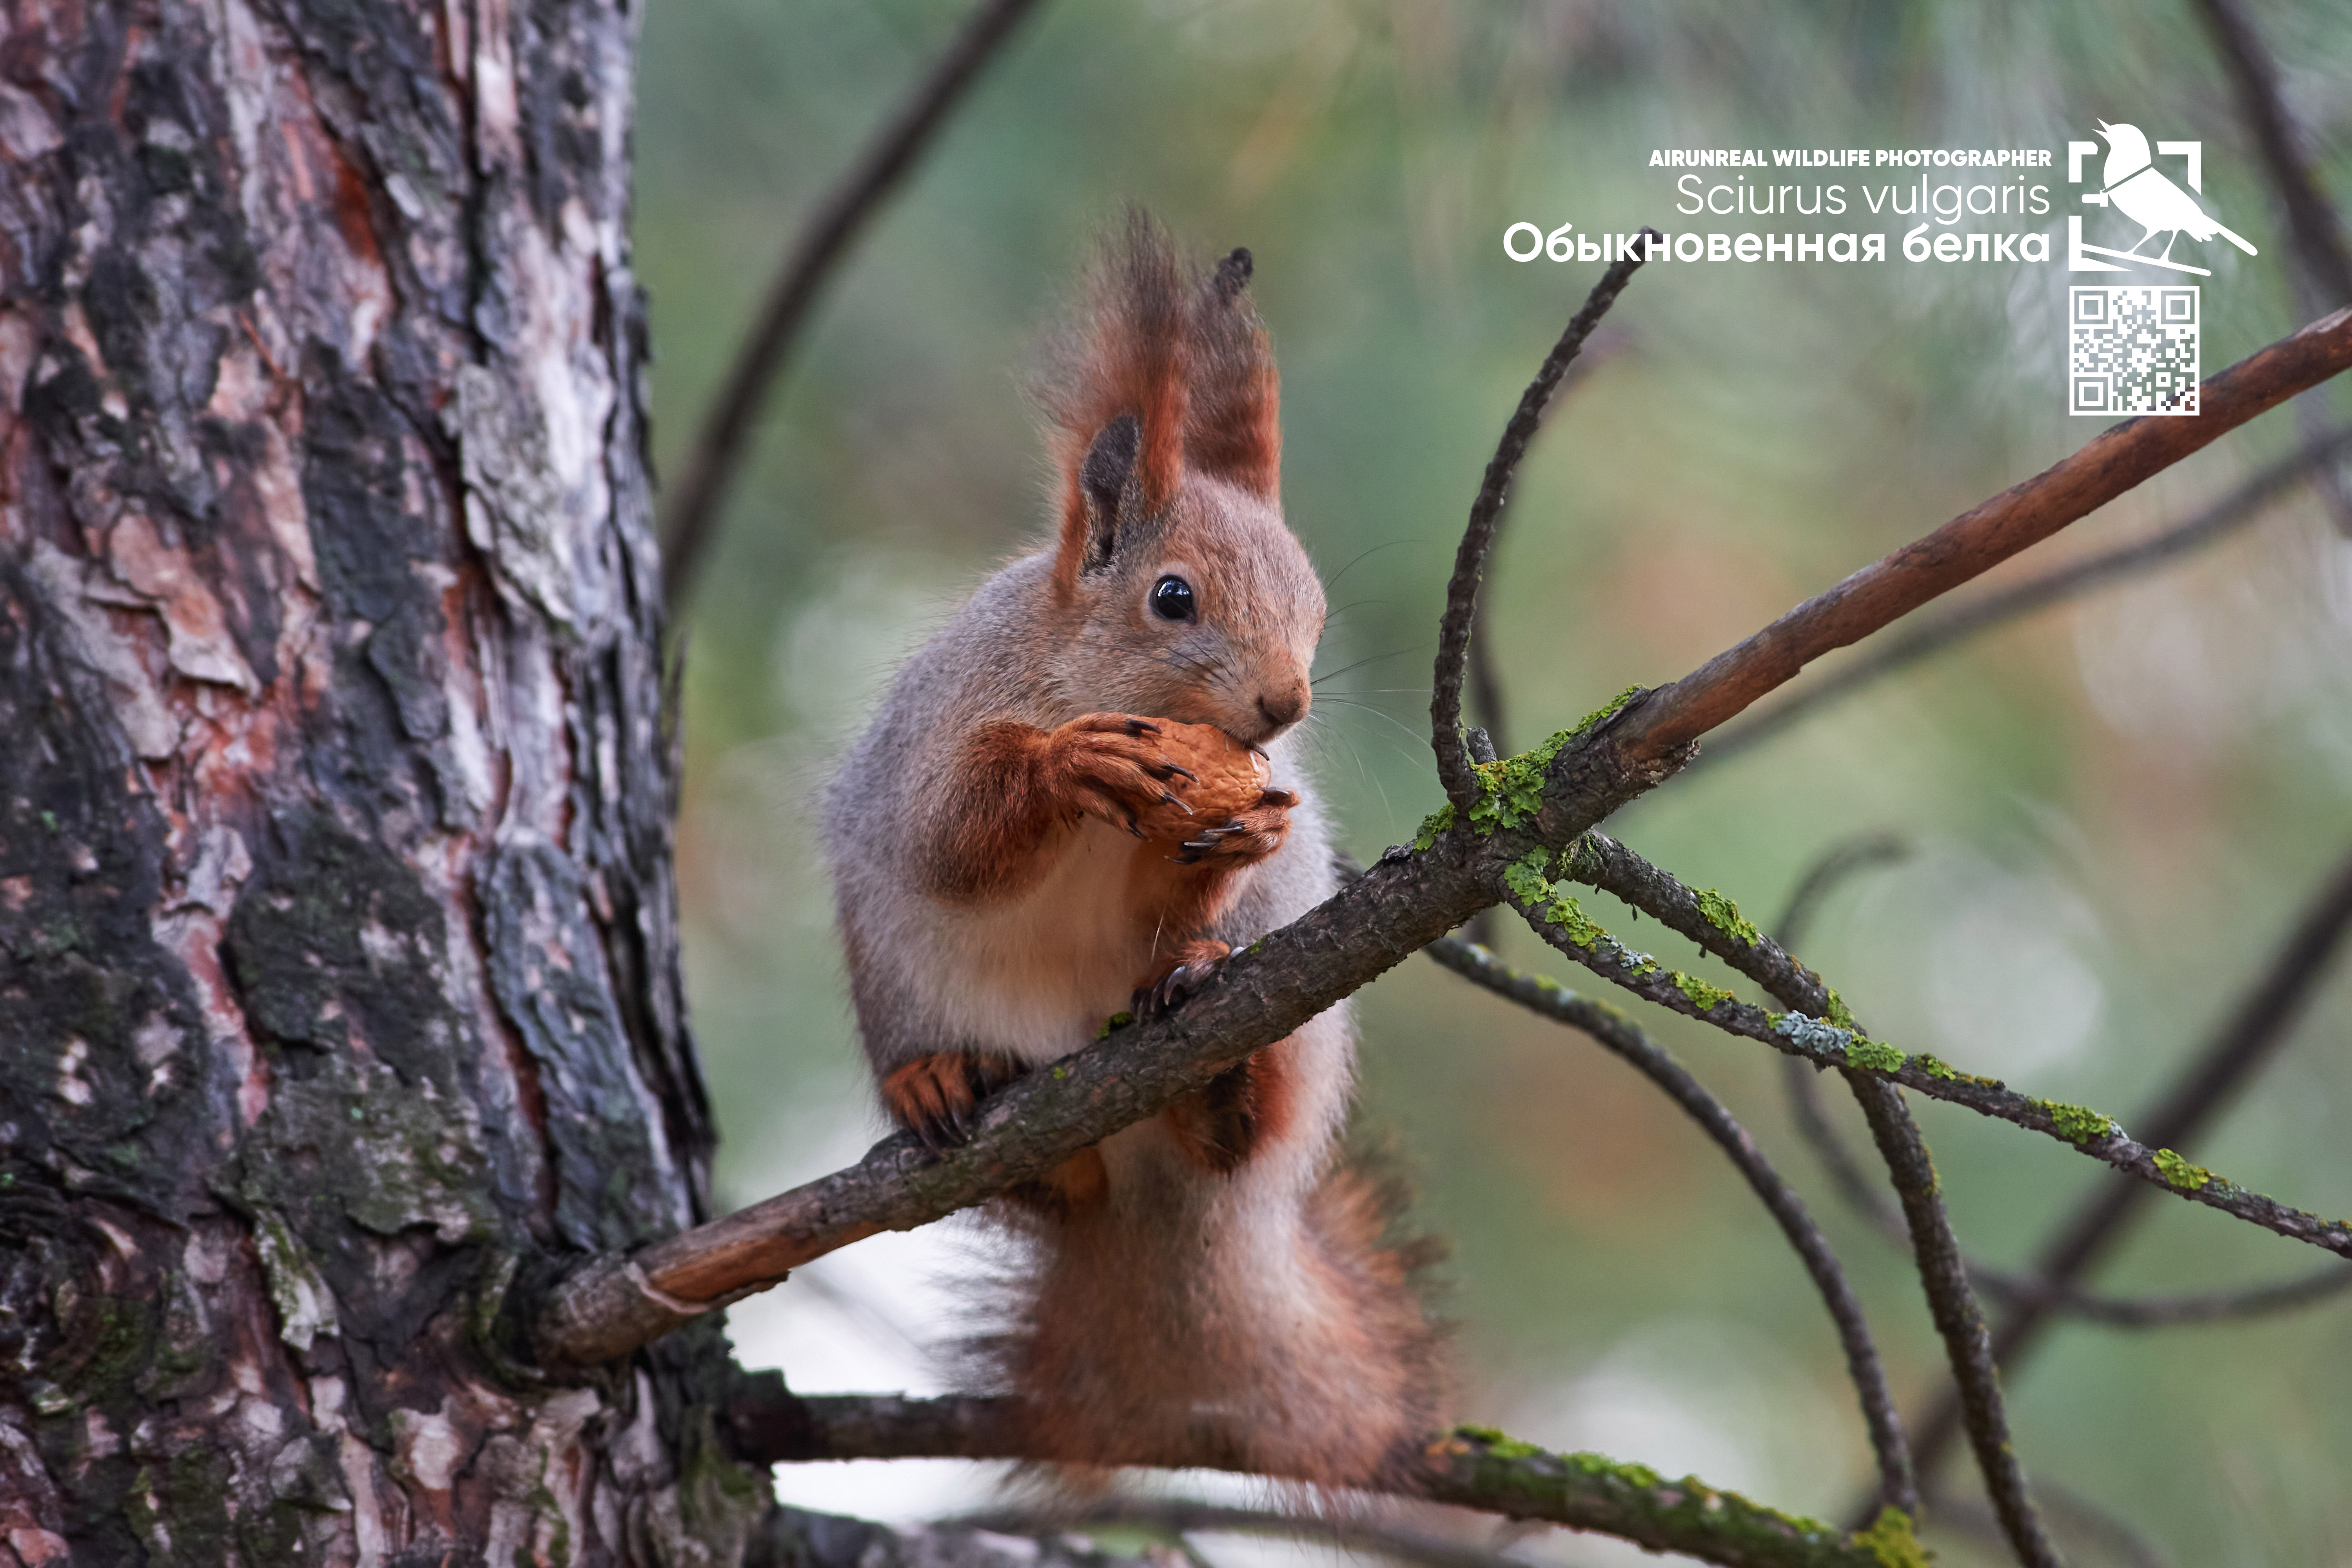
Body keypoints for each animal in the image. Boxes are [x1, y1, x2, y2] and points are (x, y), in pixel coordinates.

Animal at [828, 215, 1449, 1495]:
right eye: (1171, 598)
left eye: (1314, 606)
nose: (1284, 703)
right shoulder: (938, 733)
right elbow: (953, 837)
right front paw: (1064, 767)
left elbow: (1174, 884)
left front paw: (1238, 827)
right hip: (907, 981)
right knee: (1050, 1188)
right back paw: (949, 1085)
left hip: (1289, 1019)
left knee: (1238, 1133)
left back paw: (1218, 1070)